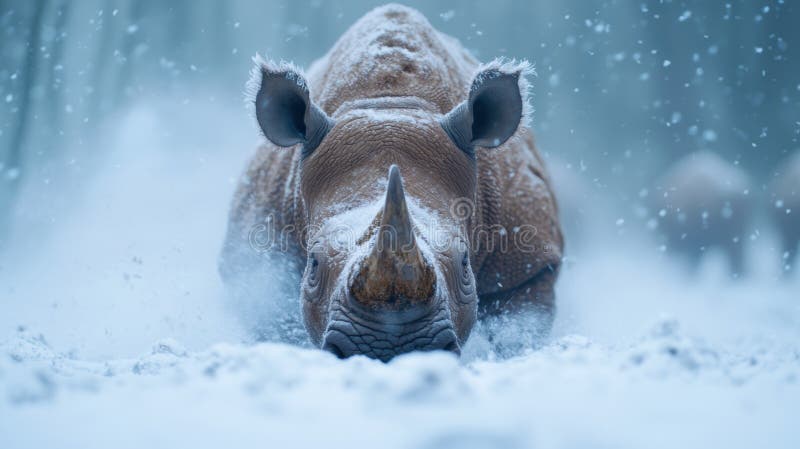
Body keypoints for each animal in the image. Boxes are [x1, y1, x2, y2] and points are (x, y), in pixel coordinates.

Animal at [220, 4, 563, 361]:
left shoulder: (529, 265)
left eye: (465, 263)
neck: (391, 102)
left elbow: (514, 329)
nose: (388, 347)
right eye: (313, 263)